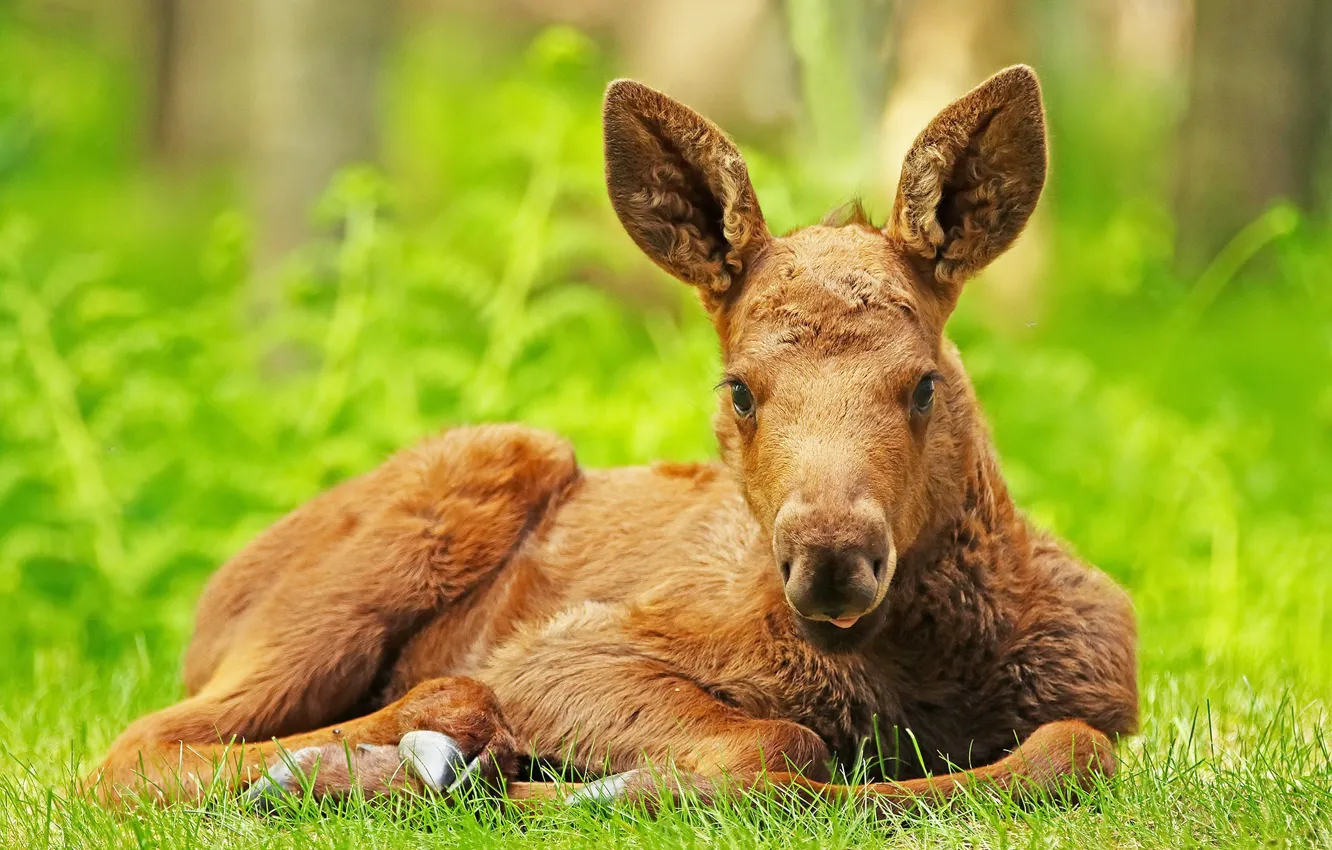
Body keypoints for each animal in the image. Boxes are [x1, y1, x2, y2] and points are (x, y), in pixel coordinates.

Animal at [86, 66, 1138, 815]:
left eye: (925, 383)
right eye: (740, 389)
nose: (832, 557)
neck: (912, 674)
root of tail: (212, 608)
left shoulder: (1103, 689)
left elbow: (1067, 749)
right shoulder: (563, 652)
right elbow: (781, 740)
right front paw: (575, 784)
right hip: (461, 486)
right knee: (131, 749)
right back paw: (396, 758)